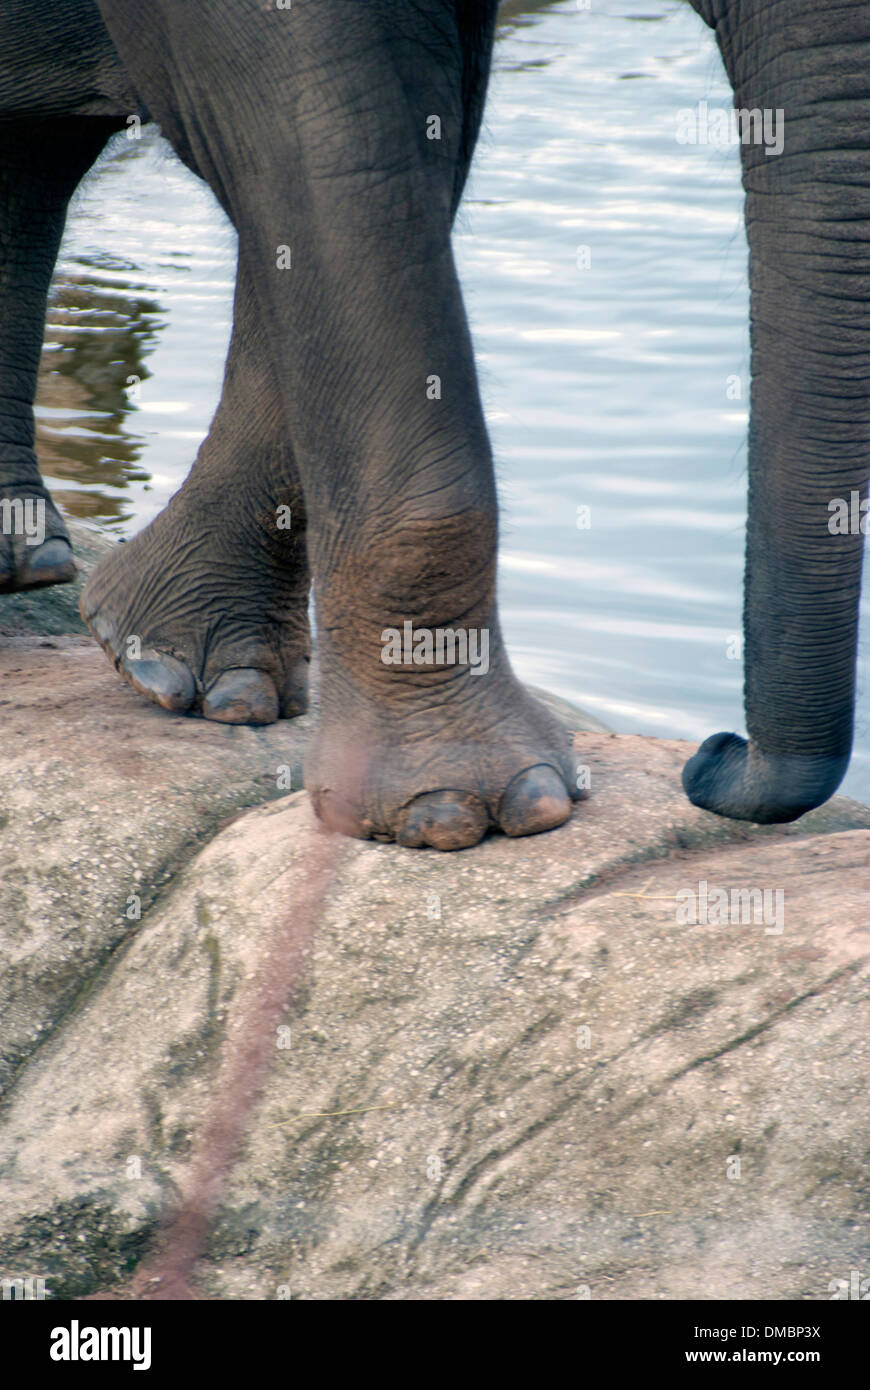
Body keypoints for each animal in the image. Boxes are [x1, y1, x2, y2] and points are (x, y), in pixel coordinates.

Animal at [1, 0, 868, 849]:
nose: (712, 758)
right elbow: (336, 134)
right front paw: (470, 811)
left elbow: (428, 115)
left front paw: (222, 688)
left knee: (36, 156)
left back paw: (32, 561)